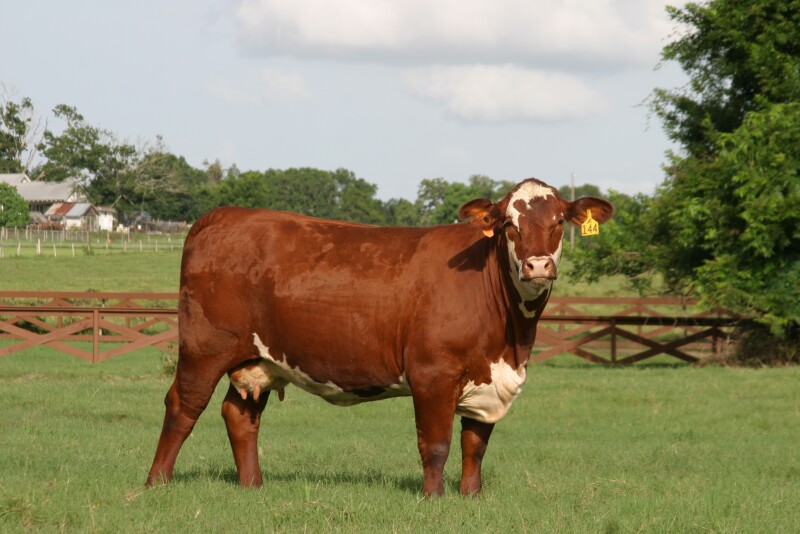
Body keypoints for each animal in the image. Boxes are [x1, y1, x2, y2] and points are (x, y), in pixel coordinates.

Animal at [146, 178, 613, 496]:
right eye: (510, 225)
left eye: (558, 222)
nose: (538, 266)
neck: (510, 339)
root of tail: (224, 214)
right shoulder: (432, 373)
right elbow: (436, 443)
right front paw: (434, 499)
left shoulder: (489, 378)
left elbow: (475, 445)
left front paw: (471, 497)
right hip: (204, 348)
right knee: (182, 406)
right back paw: (157, 483)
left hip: (257, 358)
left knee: (240, 415)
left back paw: (253, 486)